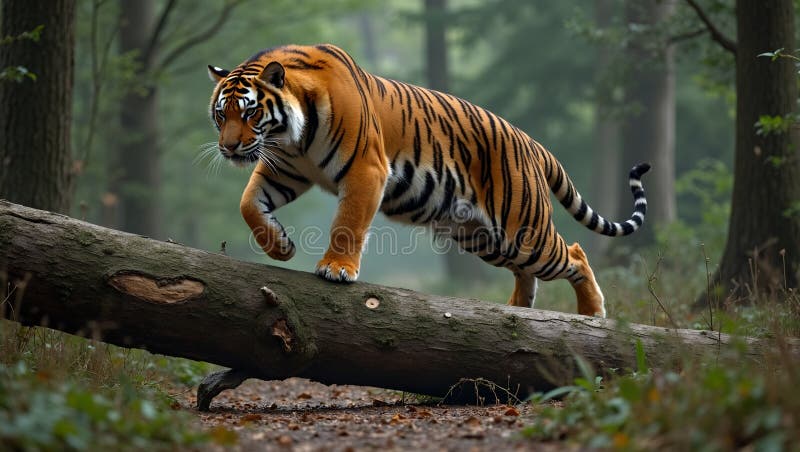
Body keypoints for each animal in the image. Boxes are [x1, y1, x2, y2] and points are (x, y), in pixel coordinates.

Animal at [207, 44, 649, 318]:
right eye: (220, 114)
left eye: (249, 112)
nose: (228, 148)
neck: (291, 137)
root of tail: (532, 143)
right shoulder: (285, 168)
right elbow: (248, 204)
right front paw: (280, 247)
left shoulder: (366, 169)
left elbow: (348, 223)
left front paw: (336, 269)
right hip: (484, 237)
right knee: (527, 272)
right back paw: (516, 313)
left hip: (524, 231)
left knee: (575, 254)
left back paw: (591, 314)